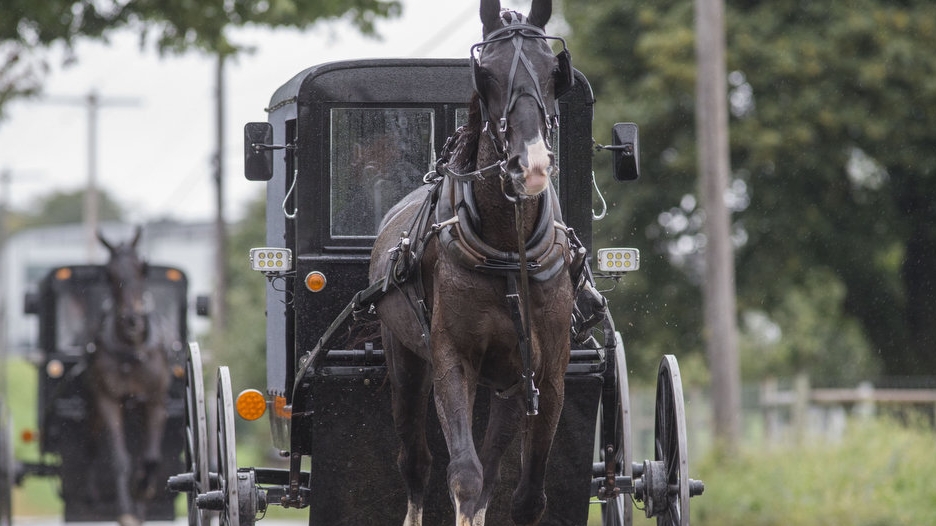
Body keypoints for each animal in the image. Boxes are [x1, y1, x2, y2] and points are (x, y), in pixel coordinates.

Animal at [89, 228, 172, 526]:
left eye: (142, 268)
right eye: (108, 274)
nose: (132, 320)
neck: (132, 351)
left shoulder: (156, 401)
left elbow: (151, 458)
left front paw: (143, 490)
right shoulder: (108, 399)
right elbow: (120, 459)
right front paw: (126, 511)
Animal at [368, 1, 576, 524]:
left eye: (554, 71)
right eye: (487, 74)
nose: (532, 164)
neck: (507, 252)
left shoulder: (546, 372)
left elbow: (526, 494)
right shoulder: (453, 359)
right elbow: (464, 474)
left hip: (509, 383)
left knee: (495, 458)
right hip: (405, 362)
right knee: (415, 461)